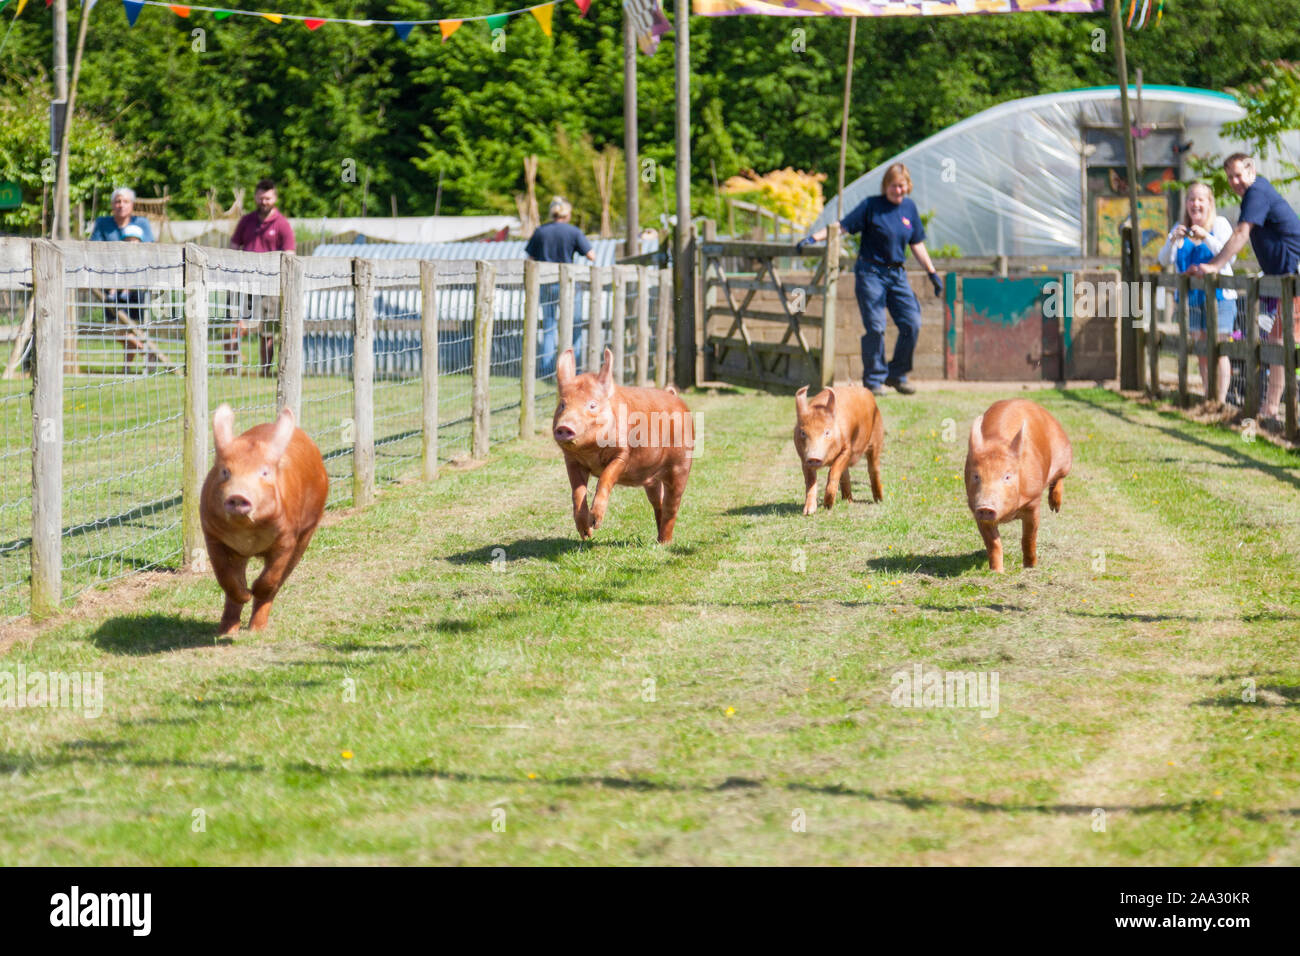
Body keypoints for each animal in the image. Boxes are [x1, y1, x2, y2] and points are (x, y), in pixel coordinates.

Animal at [200, 404, 329, 635]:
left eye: (265, 473)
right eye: (225, 472)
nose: (238, 495)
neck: (249, 536)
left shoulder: (287, 537)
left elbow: (270, 580)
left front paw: (253, 593)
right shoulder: (212, 535)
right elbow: (226, 579)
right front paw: (244, 594)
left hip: (308, 530)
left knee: (279, 581)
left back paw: (256, 629)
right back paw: (227, 630)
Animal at [553, 347, 693, 544]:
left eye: (592, 405)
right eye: (563, 405)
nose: (564, 426)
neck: (591, 452)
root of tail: (676, 397)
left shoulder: (624, 453)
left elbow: (605, 477)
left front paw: (596, 521)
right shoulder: (571, 460)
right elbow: (577, 491)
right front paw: (587, 534)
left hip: (681, 464)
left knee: (672, 505)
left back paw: (665, 542)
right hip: (651, 479)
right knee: (658, 502)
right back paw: (657, 539)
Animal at [794, 384, 884, 516]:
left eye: (827, 432)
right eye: (803, 432)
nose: (814, 457)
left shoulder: (847, 449)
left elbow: (833, 471)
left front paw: (827, 506)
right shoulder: (804, 458)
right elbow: (810, 481)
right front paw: (808, 512)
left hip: (877, 438)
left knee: (873, 469)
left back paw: (879, 500)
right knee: (846, 475)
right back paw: (848, 501)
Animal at [964, 399, 1072, 572]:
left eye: (1007, 476)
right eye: (976, 476)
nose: (986, 506)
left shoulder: (1033, 501)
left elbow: (1028, 538)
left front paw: (1030, 567)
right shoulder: (975, 507)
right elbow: (993, 543)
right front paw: (997, 572)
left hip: (1065, 454)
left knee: (1060, 477)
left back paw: (1055, 508)